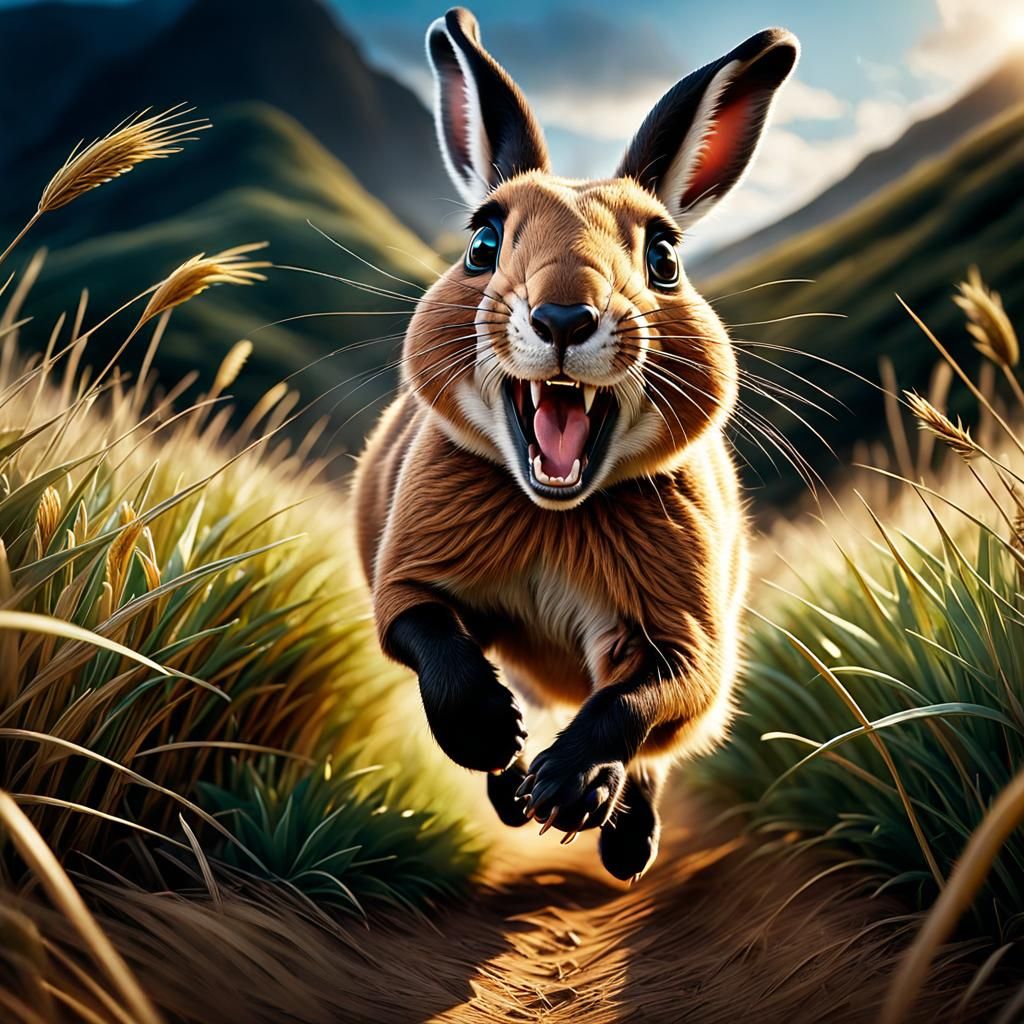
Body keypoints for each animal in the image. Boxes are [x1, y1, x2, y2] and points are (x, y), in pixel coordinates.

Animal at [353, 7, 798, 882]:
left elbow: (647, 696)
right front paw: (493, 736)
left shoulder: (684, 634)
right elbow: (428, 638)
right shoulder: (409, 577)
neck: (556, 509)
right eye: (482, 245)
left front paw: (570, 790)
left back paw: (621, 838)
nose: (563, 318)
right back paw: (512, 784)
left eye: (664, 258)